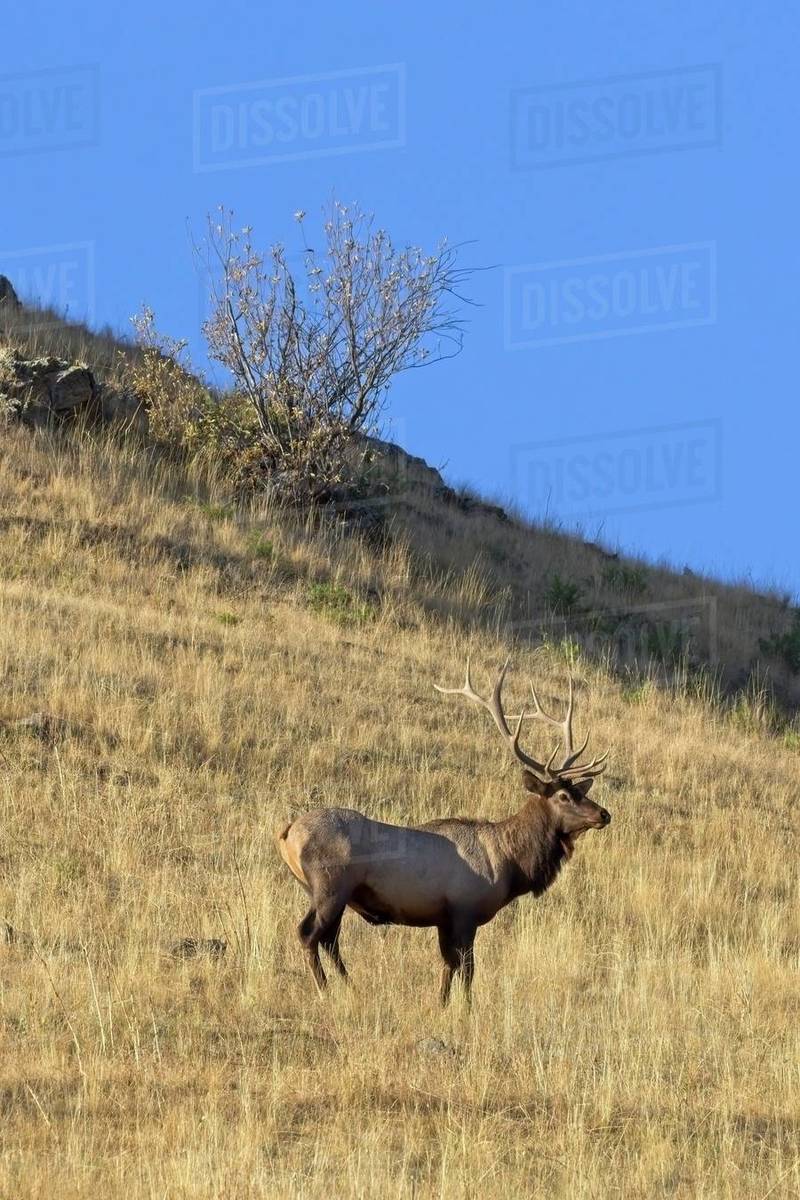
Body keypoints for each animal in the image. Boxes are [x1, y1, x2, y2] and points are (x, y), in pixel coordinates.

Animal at [277, 658, 611, 1005]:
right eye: (563, 795)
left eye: (581, 790)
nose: (604, 814)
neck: (508, 863)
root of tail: (287, 833)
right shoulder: (465, 909)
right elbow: (467, 968)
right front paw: (466, 1007)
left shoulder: (444, 918)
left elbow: (446, 966)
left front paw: (441, 1003)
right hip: (331, 885)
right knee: (308, 933)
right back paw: (324, 989)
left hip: (325, 892)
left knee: (330, 939)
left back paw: (350, 987)